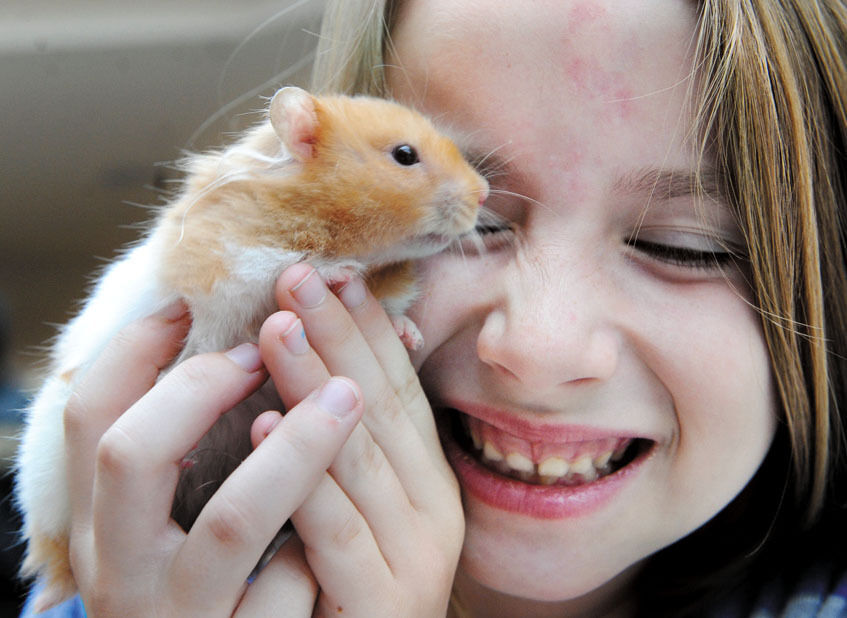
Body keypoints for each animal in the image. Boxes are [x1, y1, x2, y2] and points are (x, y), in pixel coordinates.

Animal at [15, 86, 489, 611]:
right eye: (405, 155)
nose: (485, 194)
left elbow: (389, 308)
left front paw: (410, 334)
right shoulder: (230, 267)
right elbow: (285, 269)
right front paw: (337, 273)